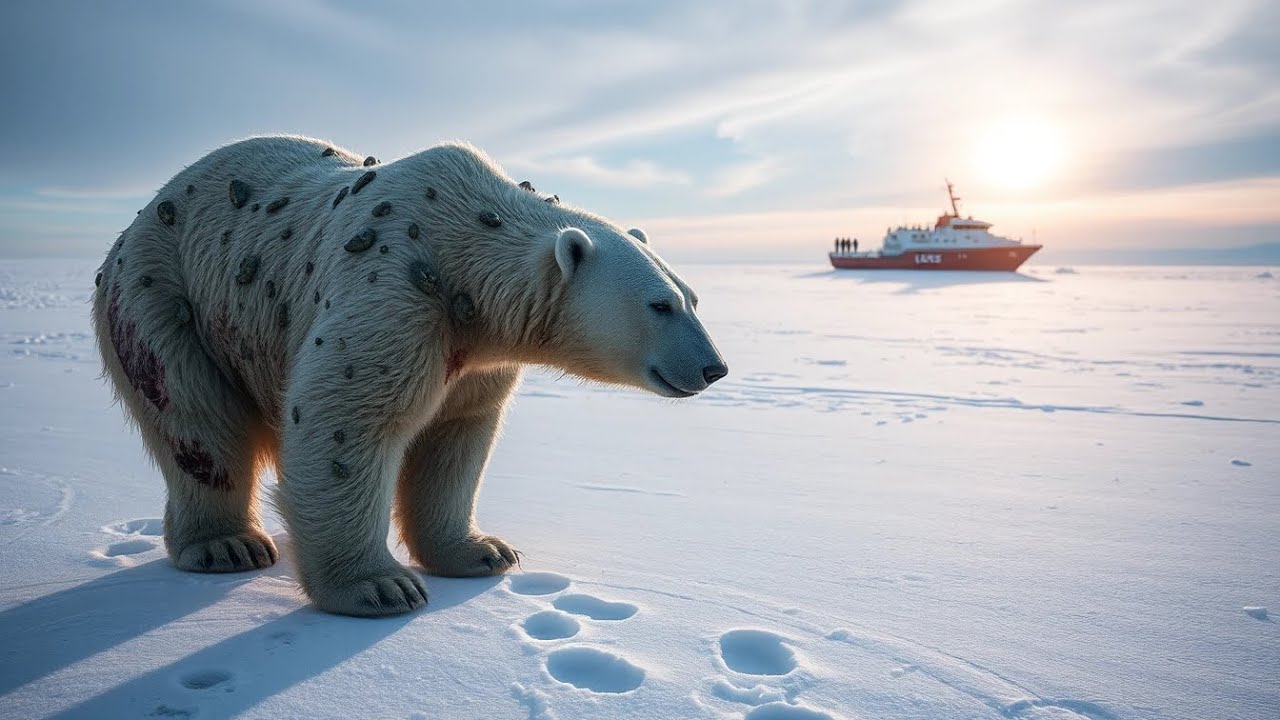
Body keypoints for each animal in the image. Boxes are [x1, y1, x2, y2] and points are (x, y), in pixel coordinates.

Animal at [91, 135, 727, 617]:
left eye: (694, 298)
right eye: (660, 305)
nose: (714, 367)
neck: (469, 240)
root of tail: (137, 221)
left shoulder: (473, 350)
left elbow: (457, 438)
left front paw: (483, 552)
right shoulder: (392, 285)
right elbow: (347, 418)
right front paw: (379, 586)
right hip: (161, 296)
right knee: (198, 420)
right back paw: (228, 545)